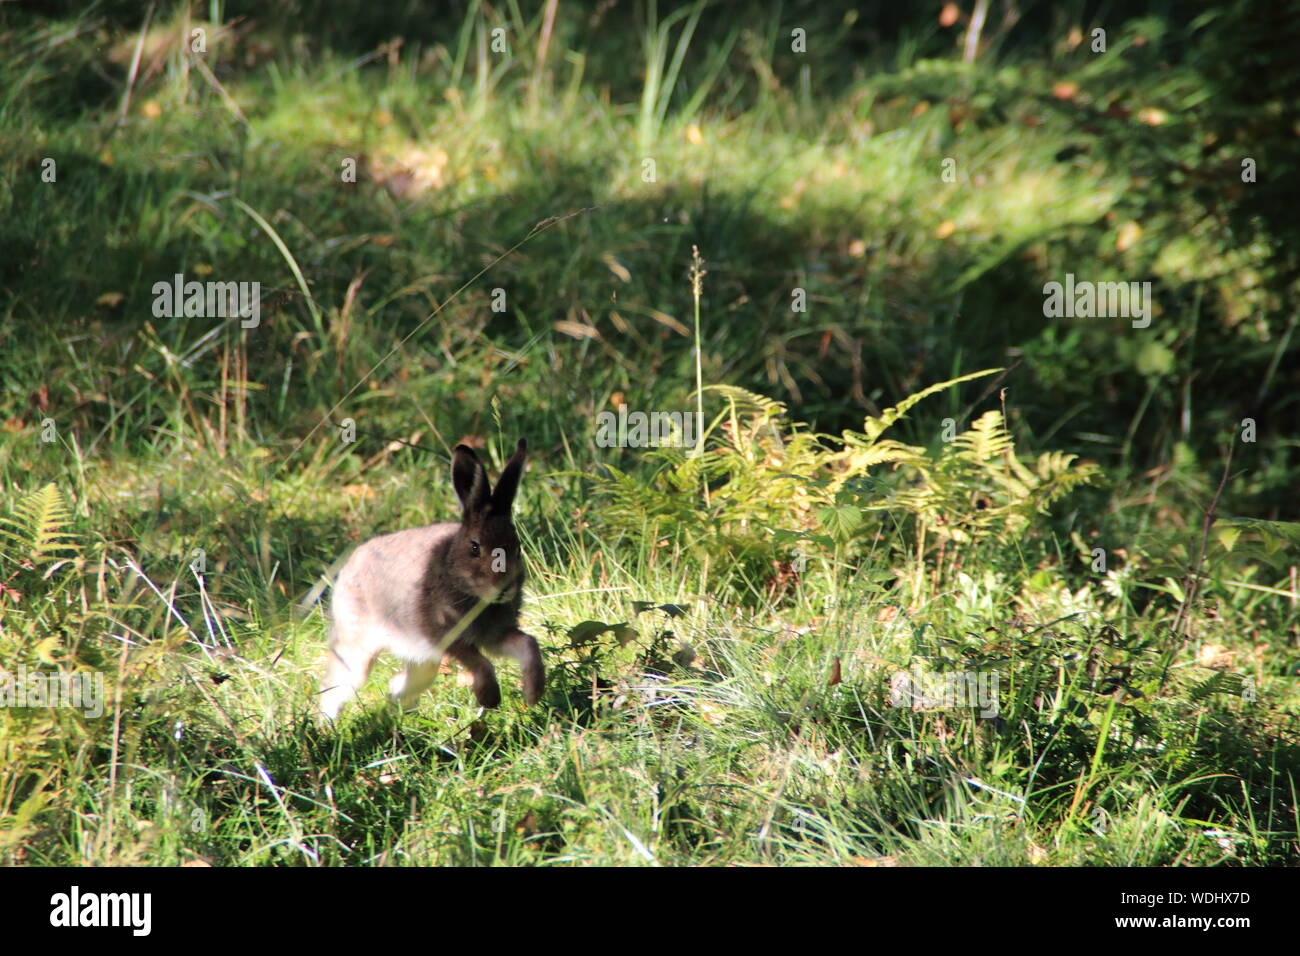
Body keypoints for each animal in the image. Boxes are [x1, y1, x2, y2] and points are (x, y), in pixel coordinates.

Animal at [319, 438, 543, 721]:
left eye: (517, 548)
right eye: (475, 548)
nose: (505, 588)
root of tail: (350, 566)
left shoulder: (496, 635)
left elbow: (528, 643)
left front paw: (533, 693)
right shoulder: (448, 637)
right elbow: (481, 663)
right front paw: (490, 698)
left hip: (422, 659)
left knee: (402, 682)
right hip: (358, 649)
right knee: (334, 687)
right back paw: (327, 726)